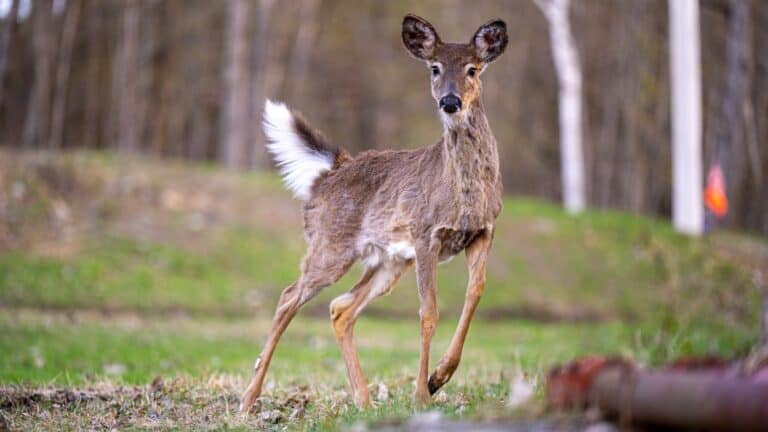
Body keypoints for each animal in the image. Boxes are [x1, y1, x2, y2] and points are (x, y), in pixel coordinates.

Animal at [240, 14, 508, 412]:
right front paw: (422, 394)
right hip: (331, 244)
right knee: (290, 296)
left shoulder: (483, 231)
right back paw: (248, 398)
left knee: (340, 308)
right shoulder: (425, 233)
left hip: (388, 261)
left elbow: (475, 293)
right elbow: (428, 312)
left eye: (473, 69)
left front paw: (439, 376)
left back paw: (363, 400)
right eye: (434, 67)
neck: (465, 194)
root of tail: (330, 171)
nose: (450, 101)